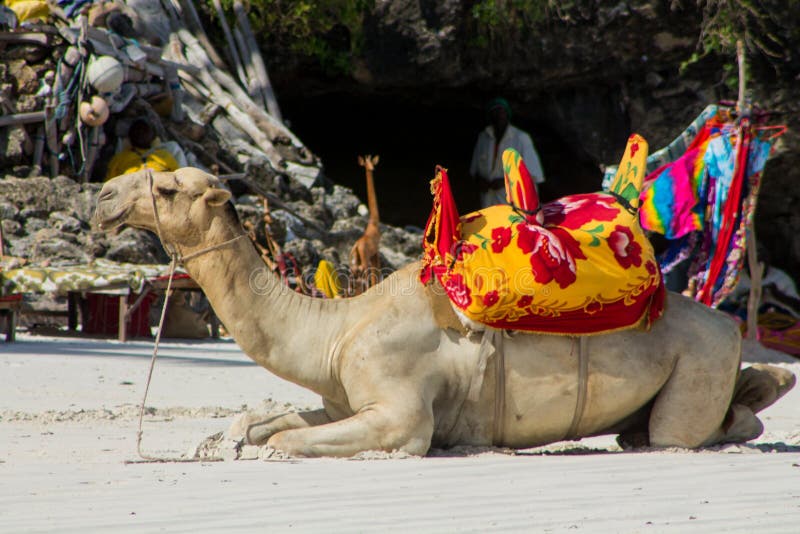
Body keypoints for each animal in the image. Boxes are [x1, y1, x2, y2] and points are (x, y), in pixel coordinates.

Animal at [94, 168, 795, 458]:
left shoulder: (402, 416)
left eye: (167, 188)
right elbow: (264, 424)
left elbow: (289, 440)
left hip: (698, 360)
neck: (334, 330)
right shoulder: (345, 398)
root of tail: (732, 323)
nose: (102, 197)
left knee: (693, 431)